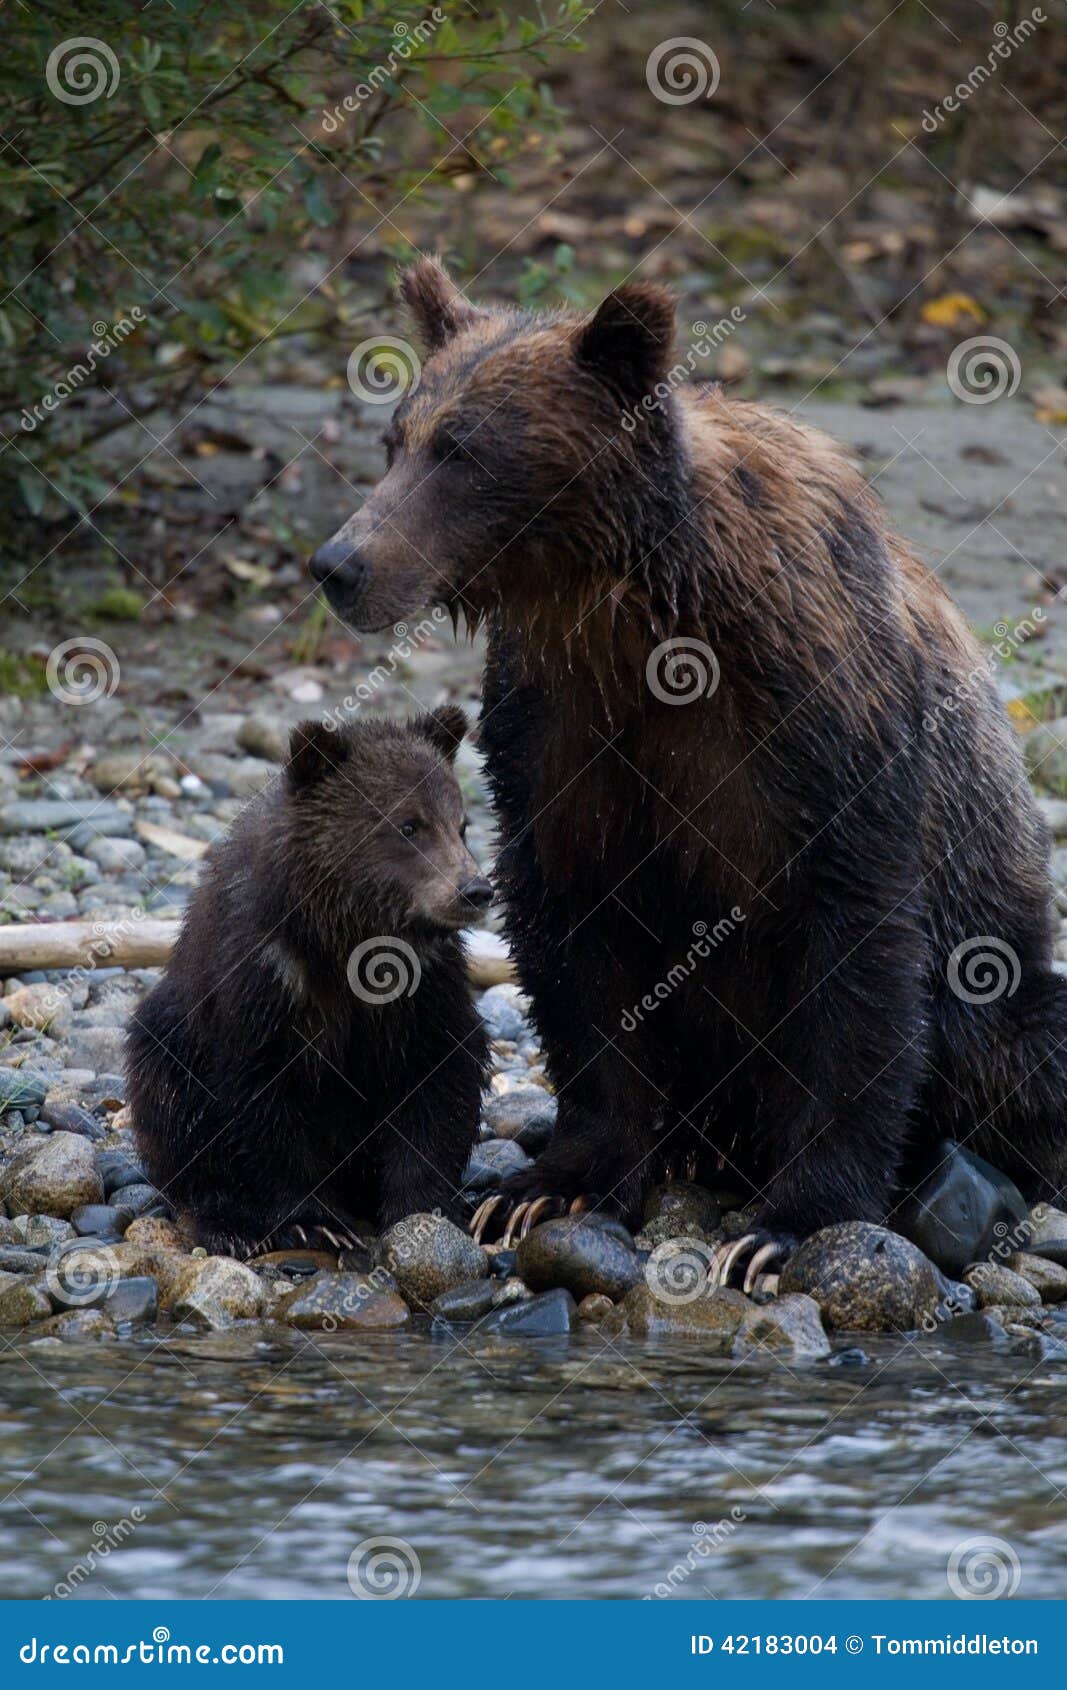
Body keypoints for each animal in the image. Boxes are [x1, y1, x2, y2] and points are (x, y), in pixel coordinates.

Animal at [127, 707, 490, 1258]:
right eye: (408, 825)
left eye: (462, 825)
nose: (474, 889)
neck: (346, 940)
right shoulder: (262, 980)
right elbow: (259, 1105)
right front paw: (314, 1220)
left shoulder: (427, 989)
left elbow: (441, 1079)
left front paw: (423, 1209)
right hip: (169, 1037)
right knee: (172, 1105)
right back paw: (227, 1222)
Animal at [308, 257, 1067, 1286]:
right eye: (395, 440)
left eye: (462, 452)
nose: (339, 563)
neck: (632, 611)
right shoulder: (561, 724)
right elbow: (574, 929)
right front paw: (552, 1184)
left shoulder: (819, 717)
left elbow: (858, 951)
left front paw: (786, 1222)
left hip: (996, 975)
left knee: (1022, 1049)